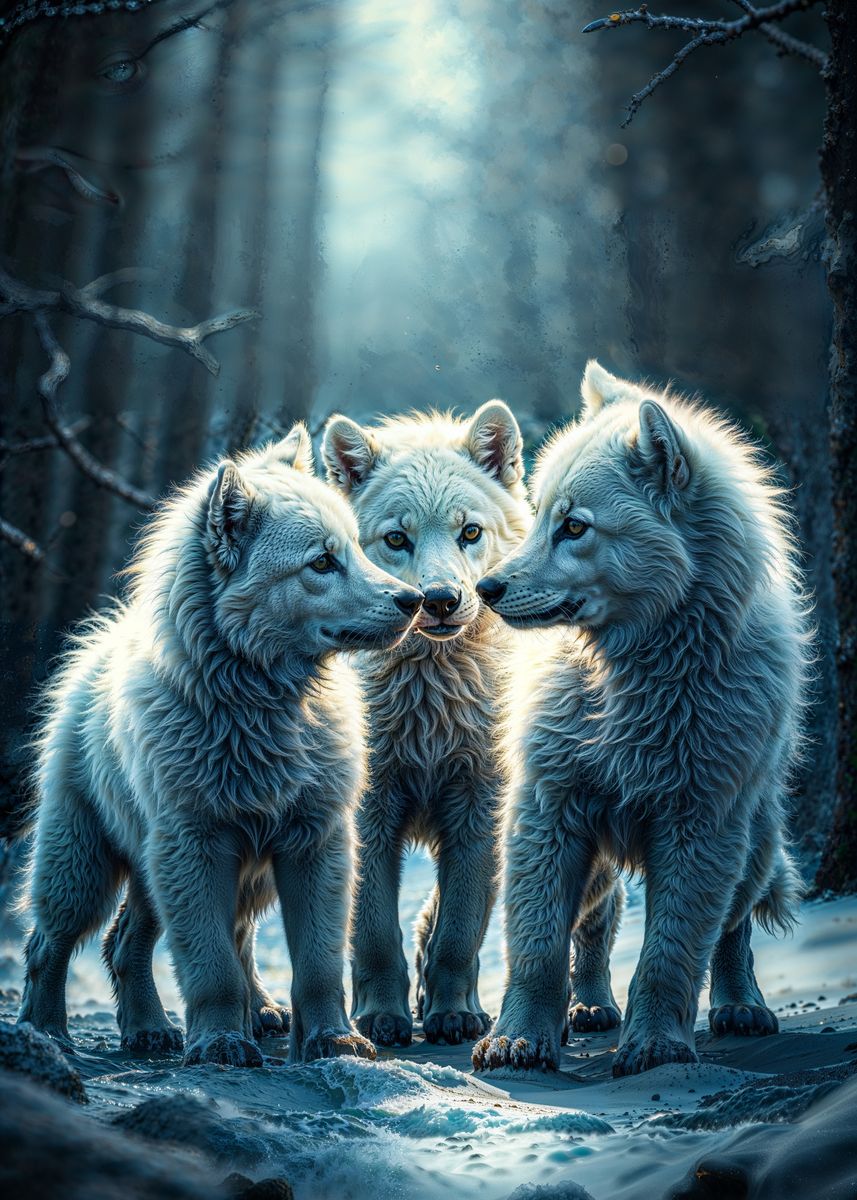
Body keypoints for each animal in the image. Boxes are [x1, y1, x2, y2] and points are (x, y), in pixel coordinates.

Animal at [19, 425, 423, 1066]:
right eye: (321, 562)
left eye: (356, 549)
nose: (414, 600)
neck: (258, 706)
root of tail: (101, 640)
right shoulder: (195, 842)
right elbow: (210, 965)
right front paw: (220, 1042)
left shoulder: (315, 838)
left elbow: (317, 961)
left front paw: (333, 1039)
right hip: (87, 855)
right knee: (51, 942)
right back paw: (46, 1032)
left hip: (219, 870)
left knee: (138, 941)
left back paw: (166, 1026)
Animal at [322, 403, 531, 1046]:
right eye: (397, 539)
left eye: (470, 532)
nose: (437, 600)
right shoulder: (369, 811)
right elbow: (372, 933)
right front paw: (380, 1017)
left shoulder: (478, 807)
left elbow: (459, 931)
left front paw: (452, 1015)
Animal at [472, 362, 808, 1077]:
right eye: (541, 515)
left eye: (575, 527)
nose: (486, 589)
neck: (632, 680)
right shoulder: (548, 806)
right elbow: (537, 943)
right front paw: (519, 1039)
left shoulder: (700, 822)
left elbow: (671, 952)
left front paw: (655, 1044)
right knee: (598, 924)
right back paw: (589, 1008)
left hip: (753, 840)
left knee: (732, 928)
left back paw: (741, 1005)